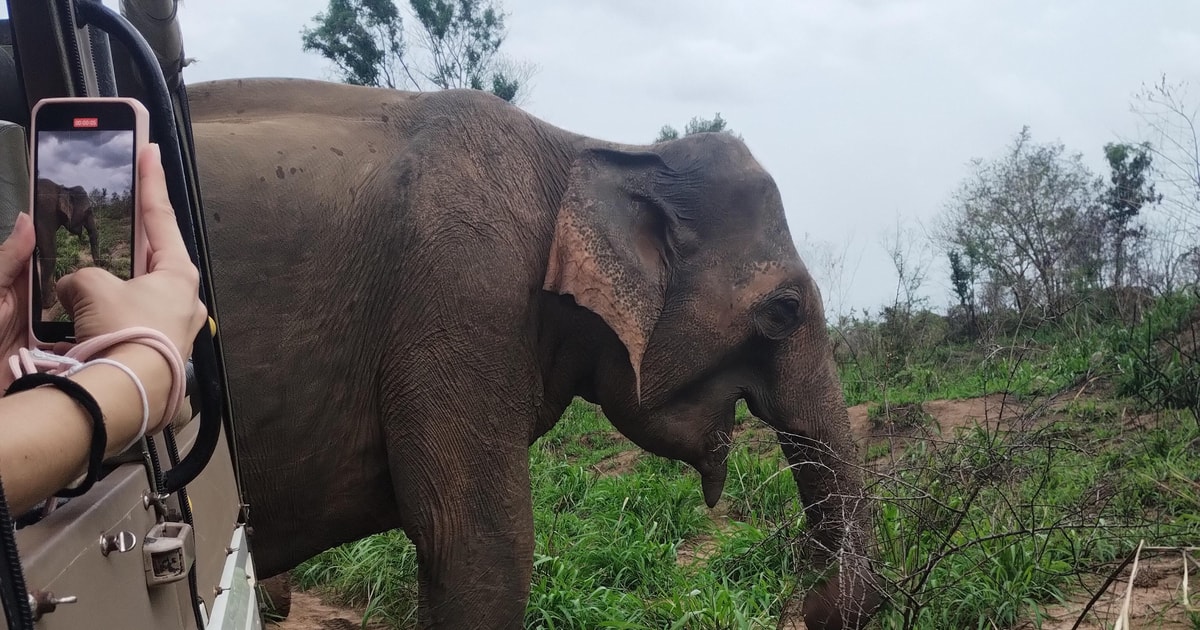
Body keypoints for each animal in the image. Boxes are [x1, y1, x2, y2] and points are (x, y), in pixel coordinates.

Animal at [33, 177, 99, 309]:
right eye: (88, 211)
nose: (98, 266)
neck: (63, 188)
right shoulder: (45, 215)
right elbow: (49, 251)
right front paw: (52, 302)